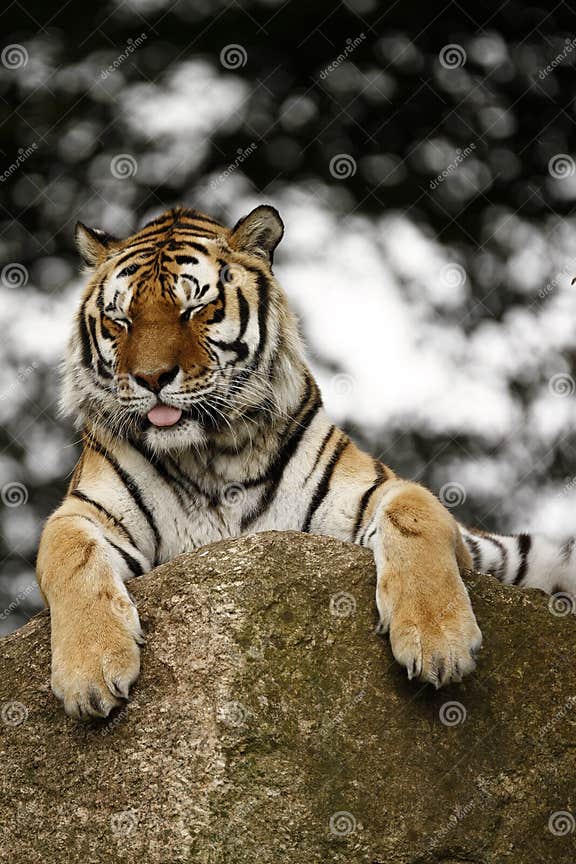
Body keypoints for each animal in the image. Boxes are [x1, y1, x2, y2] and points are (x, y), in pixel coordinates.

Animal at [36, 204, 576, 719]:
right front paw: (91, 670)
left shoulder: (371, 493)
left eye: (196, 308)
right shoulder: (85, 512)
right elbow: (68, 555)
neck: (210, 452)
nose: (151, 378)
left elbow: (415, 512)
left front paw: (439, 639)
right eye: (121, 319)